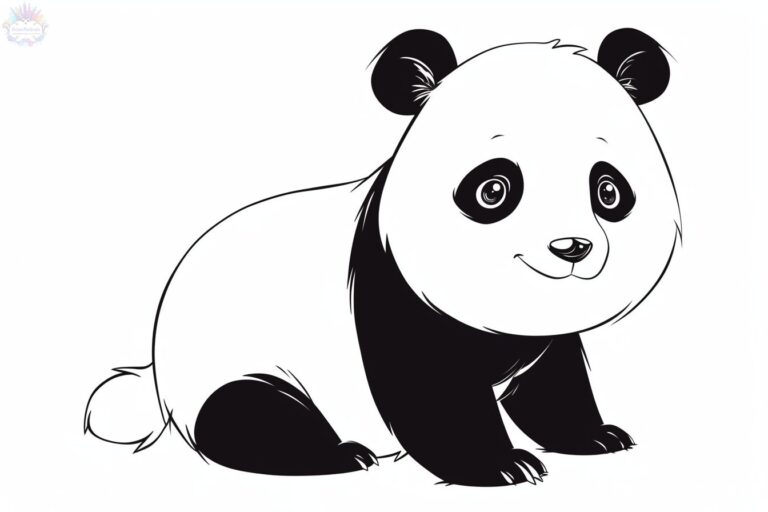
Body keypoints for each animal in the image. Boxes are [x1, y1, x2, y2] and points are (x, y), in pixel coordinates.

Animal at [85, 28, 681, 487]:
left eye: (608, 191)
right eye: (493, 189)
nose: (571, 248)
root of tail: (157, 376)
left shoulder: (542, 335)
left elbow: (551, 384)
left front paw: (596, 436)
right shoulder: (391, 283)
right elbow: (428, 389)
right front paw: (502, 466)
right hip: (232, 358)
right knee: (246, 414)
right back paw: (342, 454)